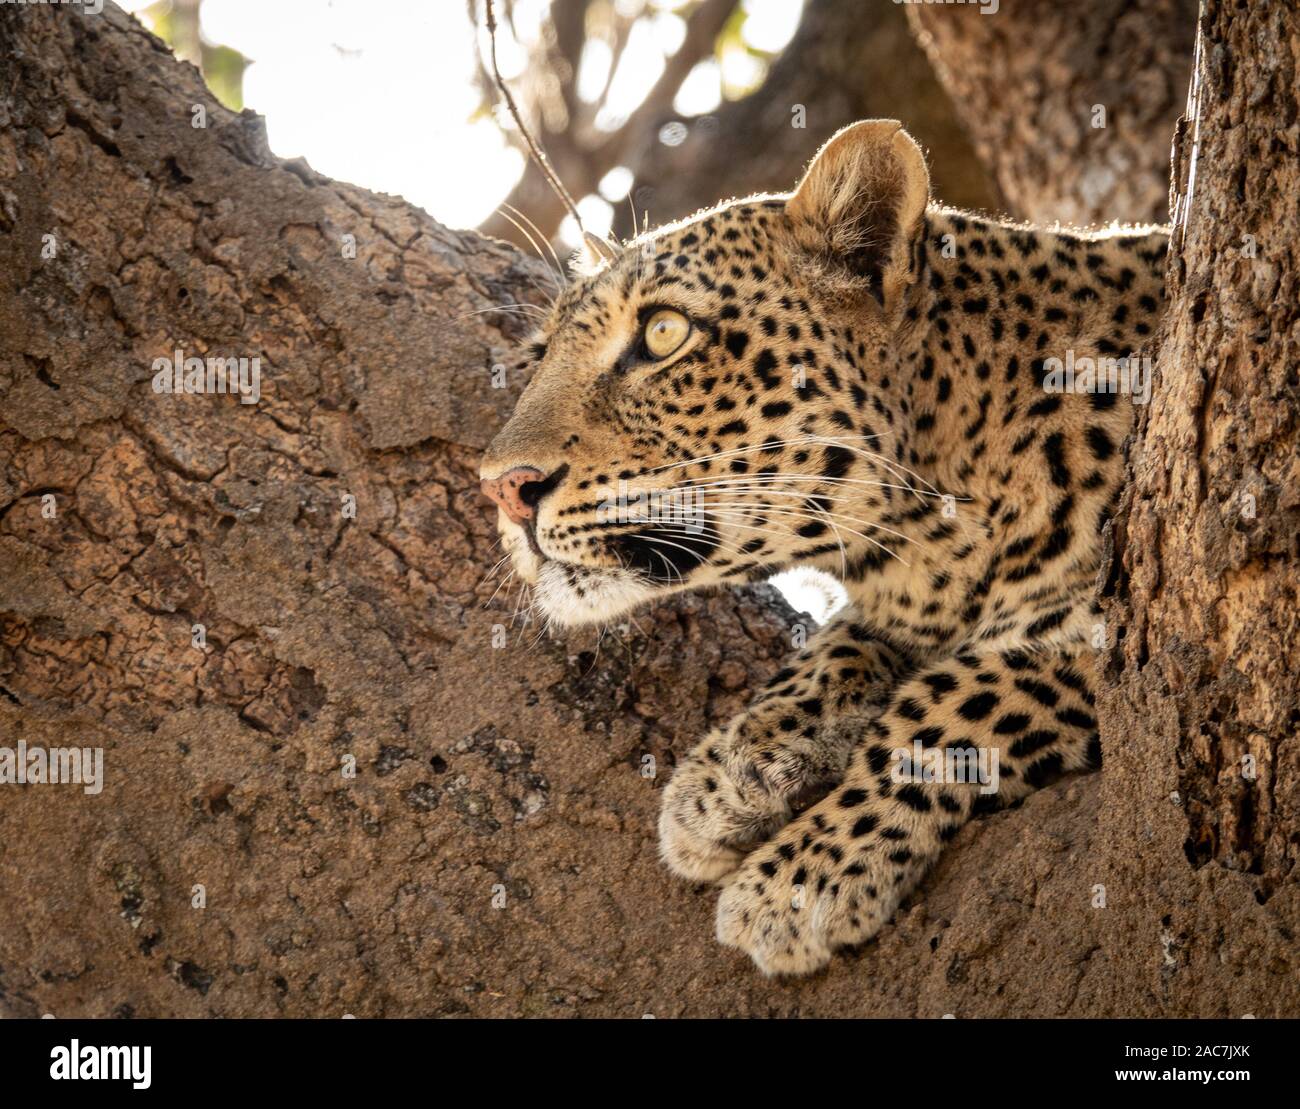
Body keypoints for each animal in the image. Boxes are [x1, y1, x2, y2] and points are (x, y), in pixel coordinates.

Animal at [479, 120, 1167, 976]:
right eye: (542, 352)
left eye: (664, 333)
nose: (503, 487)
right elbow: (843, 645)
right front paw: (729, 776)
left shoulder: (1128, 623)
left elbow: (957, 694)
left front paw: (807, 873)